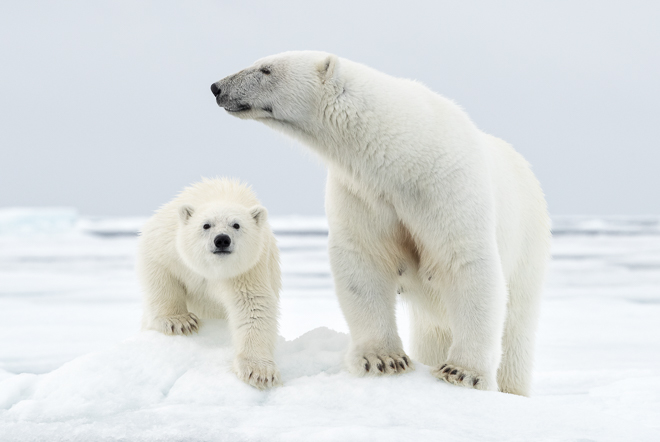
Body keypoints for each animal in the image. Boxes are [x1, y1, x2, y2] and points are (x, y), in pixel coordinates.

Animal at [137, 178, 282, 389]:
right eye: (206, 225)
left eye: (236, 225)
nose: (222, 240)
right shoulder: (169, 241)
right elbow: (160, 269)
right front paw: (180, 321)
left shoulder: (249, 268)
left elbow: (254, 305)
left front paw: (259, 372)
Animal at [210, 52, 551, 396]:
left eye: (266, 69)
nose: (217, 87)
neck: (405, 155)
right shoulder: (362, 193)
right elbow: (364, 260)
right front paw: (383, 359)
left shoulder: (447, 185)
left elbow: (465, 261)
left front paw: (461, 371)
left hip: (529, 244)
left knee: (516, 326)